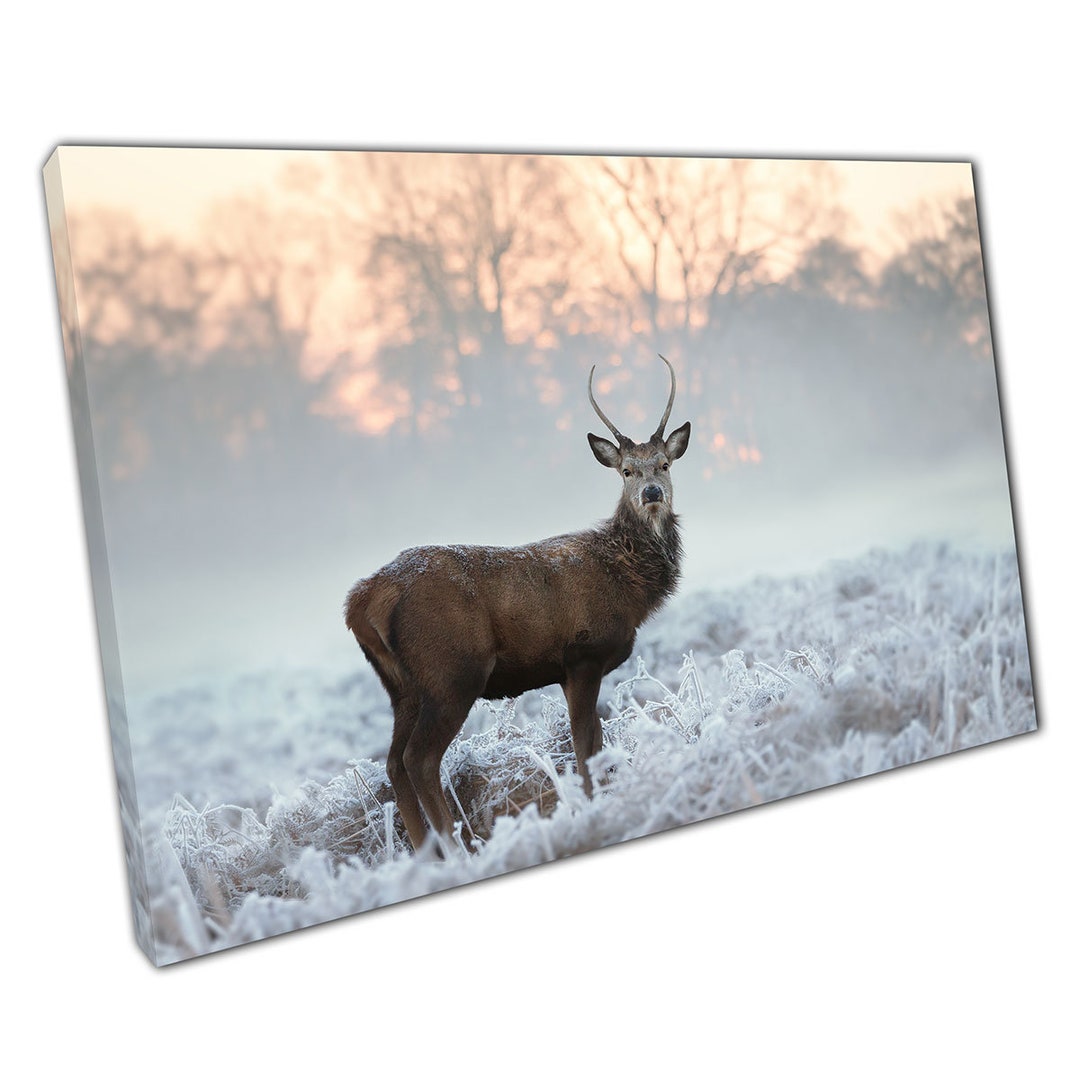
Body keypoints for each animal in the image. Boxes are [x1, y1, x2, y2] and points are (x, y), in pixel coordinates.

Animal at [345, 355, 691, 854]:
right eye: (627, 470)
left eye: (664, 464)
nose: (652, 494)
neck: (630, 587)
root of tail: (360, 601)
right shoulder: (582, 655)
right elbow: (583, 746)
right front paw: (591, 811)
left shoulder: (572, 669)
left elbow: (597, 742)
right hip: (452, 671)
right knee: (418, 759)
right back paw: (458, 849)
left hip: (402, 686)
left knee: (392, 763)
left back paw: (429, 857)